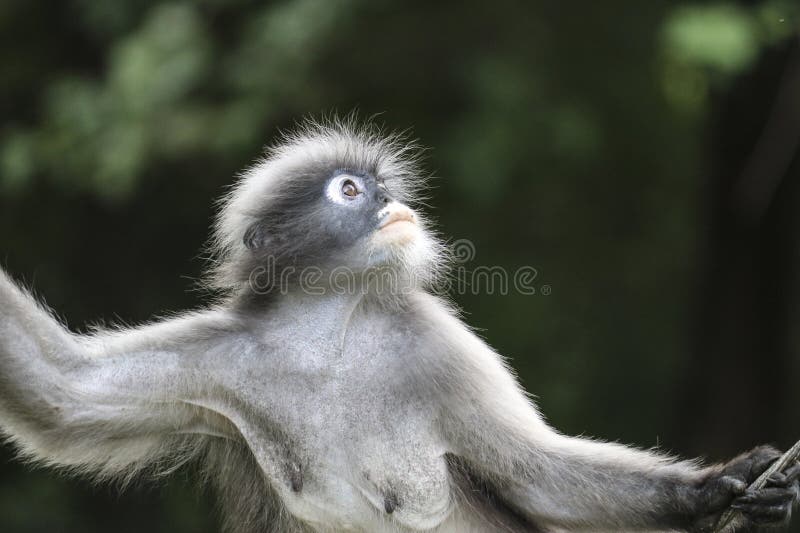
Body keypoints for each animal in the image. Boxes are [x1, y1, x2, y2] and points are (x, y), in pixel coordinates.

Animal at [0, 118, 798, 533]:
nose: (392, 204)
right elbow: (59, 392)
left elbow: (539, 477)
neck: (329, 338)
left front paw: (718, 485)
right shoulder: (222, 356)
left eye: (379, 187)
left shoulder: (437, 342)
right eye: (351, 190)